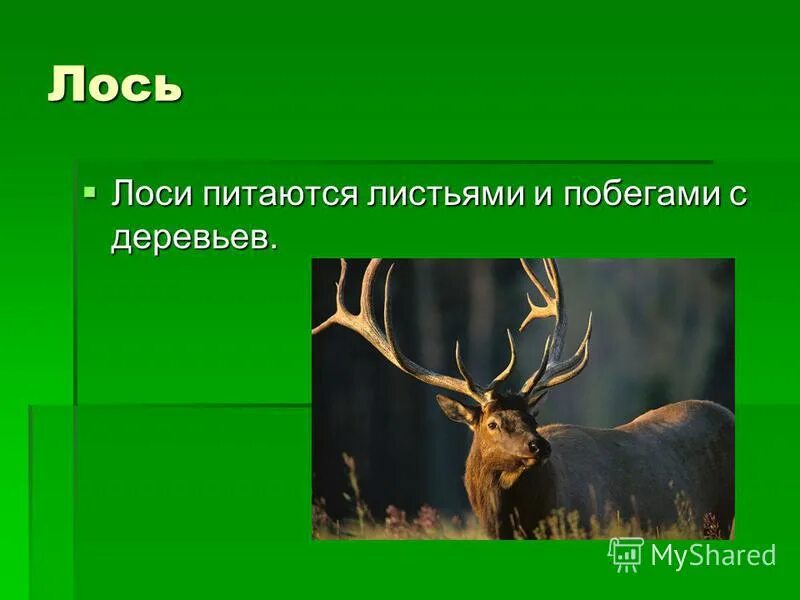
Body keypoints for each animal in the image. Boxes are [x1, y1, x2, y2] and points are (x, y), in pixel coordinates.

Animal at [312, 259, 734, 539]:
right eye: (493, 422)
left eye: (533, 417)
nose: (539, 445)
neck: (517, 524)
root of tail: (726, 413)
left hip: (721, 518)